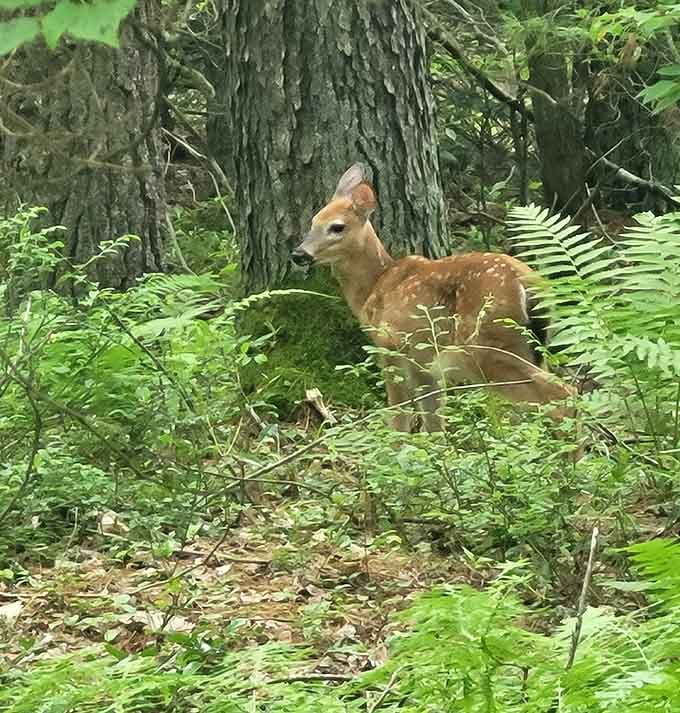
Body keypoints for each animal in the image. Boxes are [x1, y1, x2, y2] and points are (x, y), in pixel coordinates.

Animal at [291, 163, 576, 433]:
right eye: (313, 222)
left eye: (337, 227)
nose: (298, 254)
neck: (376, 285)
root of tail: (528, 284)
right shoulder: (425, 361)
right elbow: (434, 420)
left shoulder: (390, 345)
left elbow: (399, 415)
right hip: (530, 347)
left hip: (488, 345)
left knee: (562, 395)